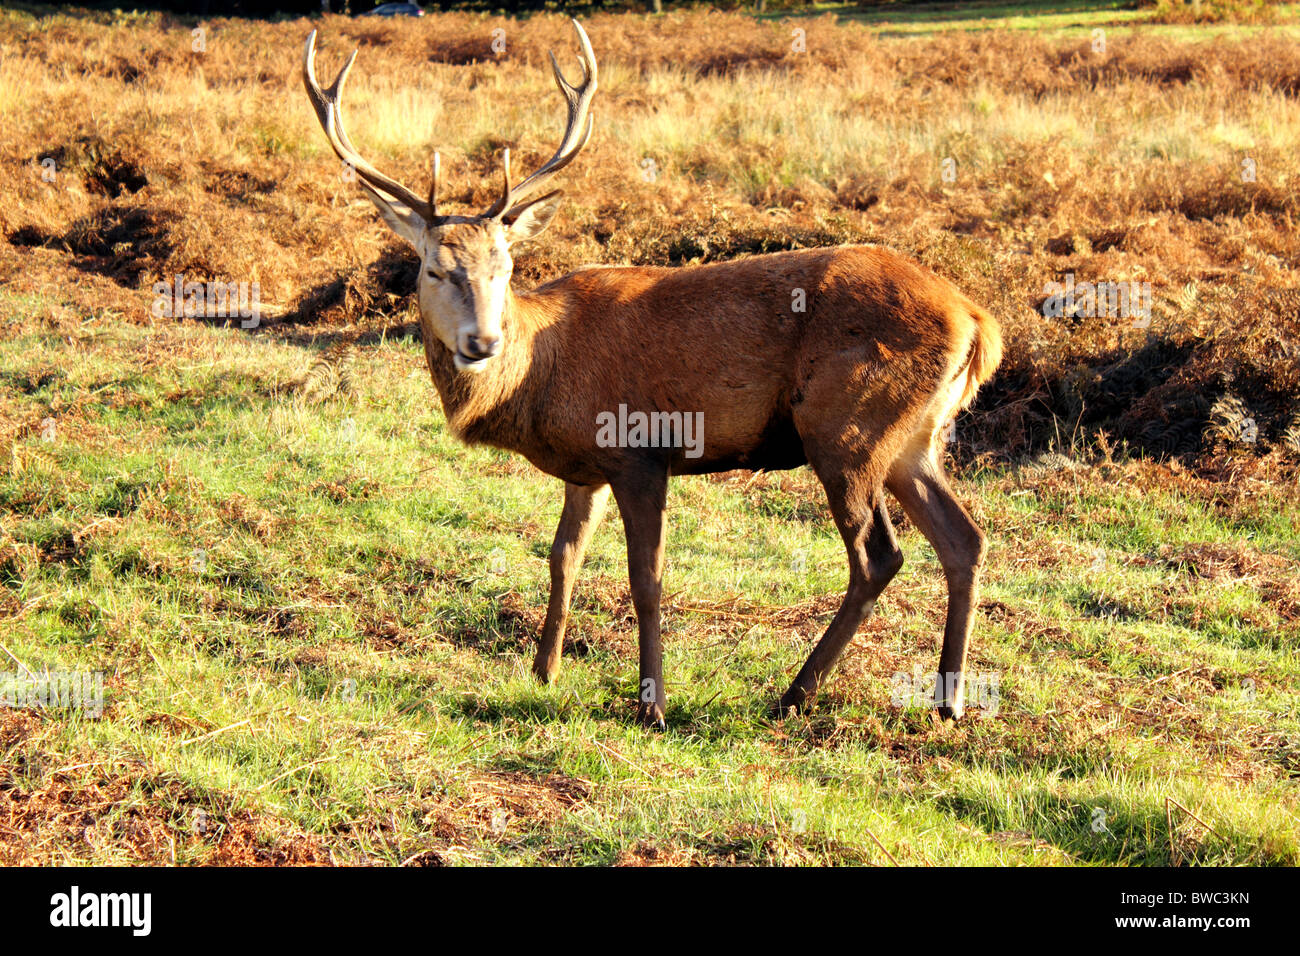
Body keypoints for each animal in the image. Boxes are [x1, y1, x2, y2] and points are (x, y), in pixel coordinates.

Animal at [302, 21, 1002, 729]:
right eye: (433, 267)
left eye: (505, 266)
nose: (483, 340)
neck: (543, 374)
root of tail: (977, 321)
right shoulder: (586, 468)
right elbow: (563, 557)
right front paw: (544, 670)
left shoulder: (638, 450)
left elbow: (647, 578)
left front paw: (652, 703)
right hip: (915, 439)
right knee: (964, 540)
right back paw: (949, 699)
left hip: (846, 427)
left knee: (879, 556)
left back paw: (795, 693)